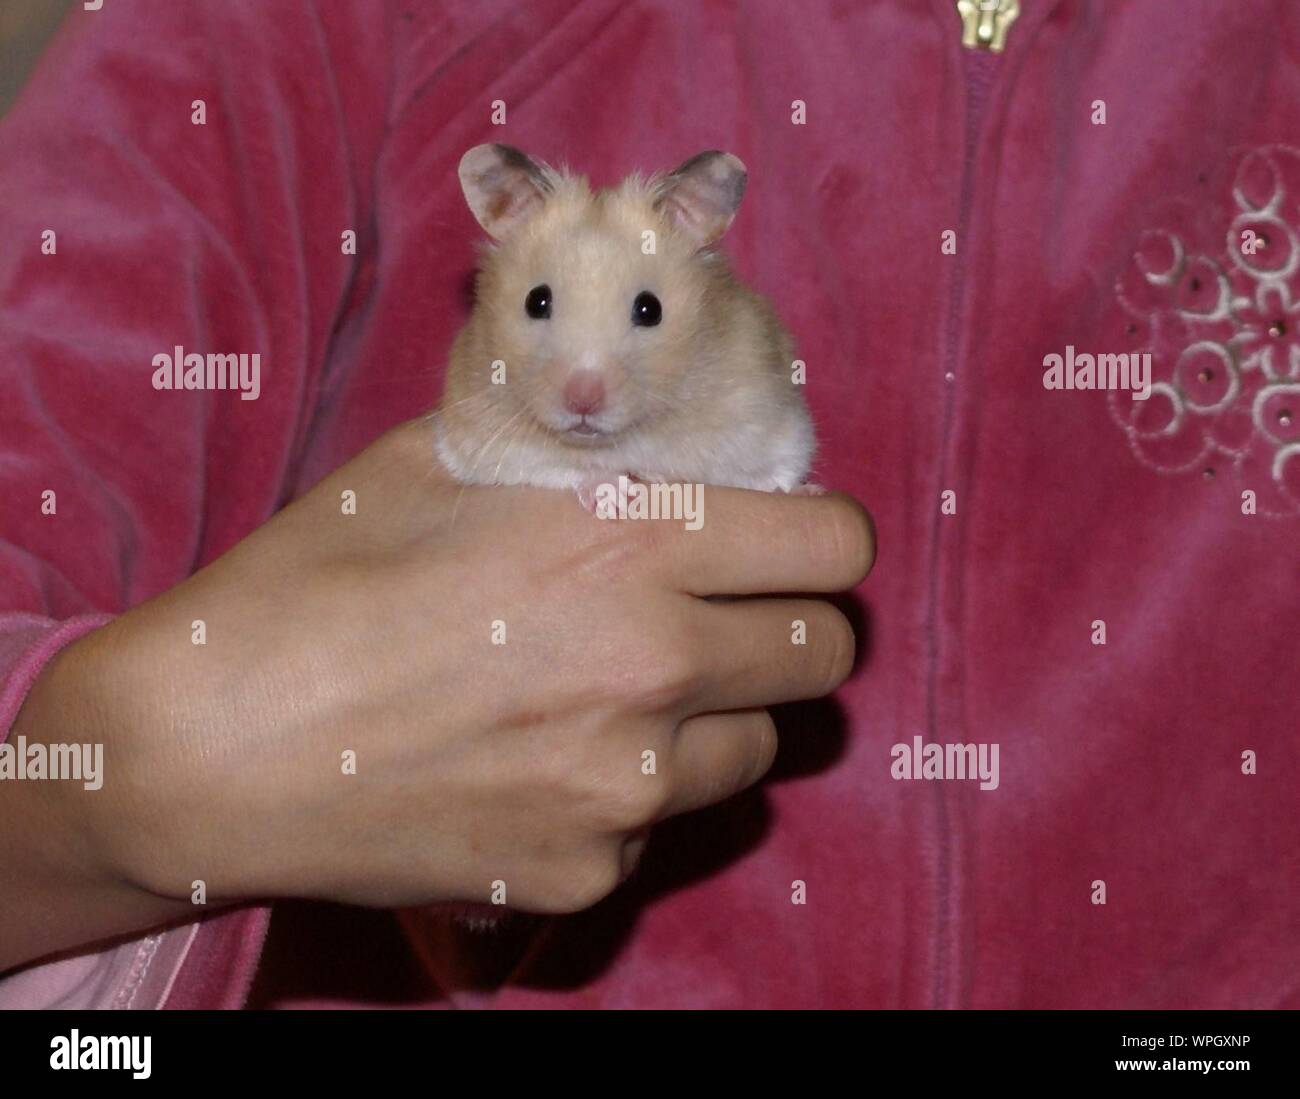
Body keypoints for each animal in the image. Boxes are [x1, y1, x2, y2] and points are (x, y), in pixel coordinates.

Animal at [433, 144, 814, 494]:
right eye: (536, 301)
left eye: (650, 309)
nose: (582, 401)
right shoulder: (476, 444)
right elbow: (554, 470)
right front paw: (614, 493)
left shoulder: (774, 428)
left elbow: (765, 474)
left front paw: (800, 489)